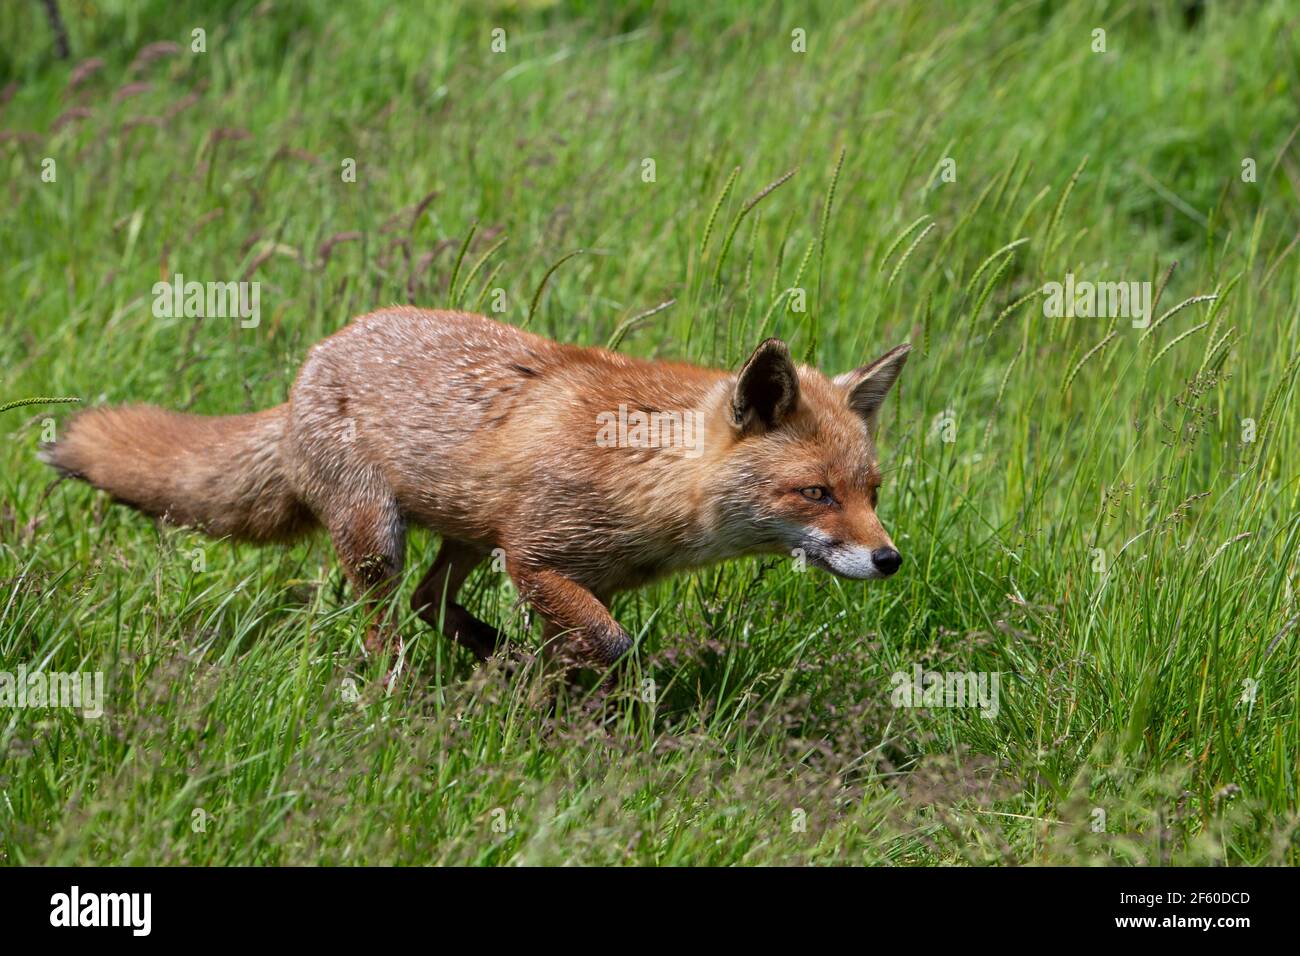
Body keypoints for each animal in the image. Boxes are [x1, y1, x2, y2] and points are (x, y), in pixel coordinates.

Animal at [41, 308, 910, 671]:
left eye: (870, 490)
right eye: (816, 494)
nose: (891, 560)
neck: (649, 477)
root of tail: (310, 365)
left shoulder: (563, 570)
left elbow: (585, 642)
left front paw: (551, 689)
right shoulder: (535, 556)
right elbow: (611, 643)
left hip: (465, 533)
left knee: (432, 602)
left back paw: (492, 652)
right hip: (378, 537)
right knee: (387, 621)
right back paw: (399, 690)